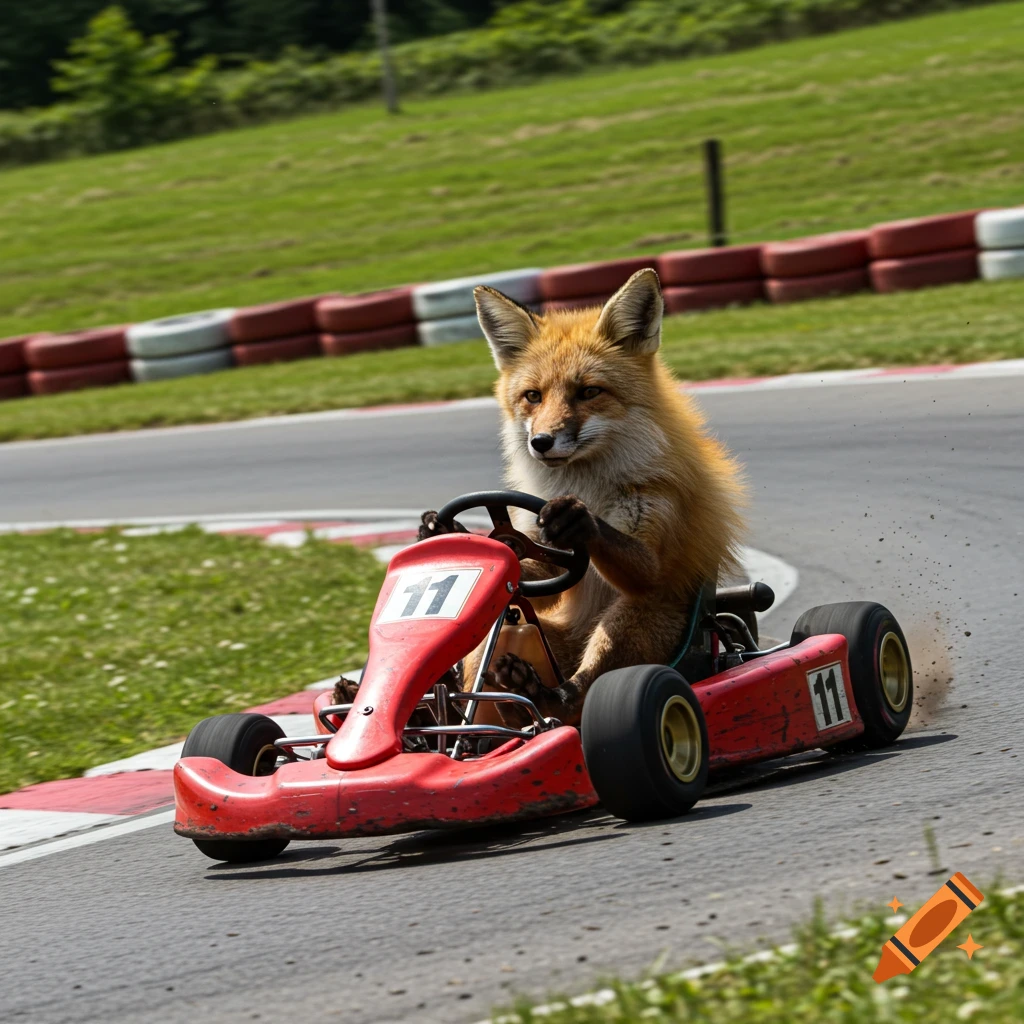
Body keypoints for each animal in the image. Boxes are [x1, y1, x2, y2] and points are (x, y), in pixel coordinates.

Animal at [413, 267, 747, 726]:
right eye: (533, 396)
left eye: (588, 392)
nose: (541, 442)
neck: (589, 486)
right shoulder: (541, 561)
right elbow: (521, 565)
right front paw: (439, 531)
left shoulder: (654, 522)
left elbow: (642, 568)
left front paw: (578, 520)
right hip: (519, 627)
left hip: (644, 617)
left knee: (584, 687)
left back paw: (543, 699)